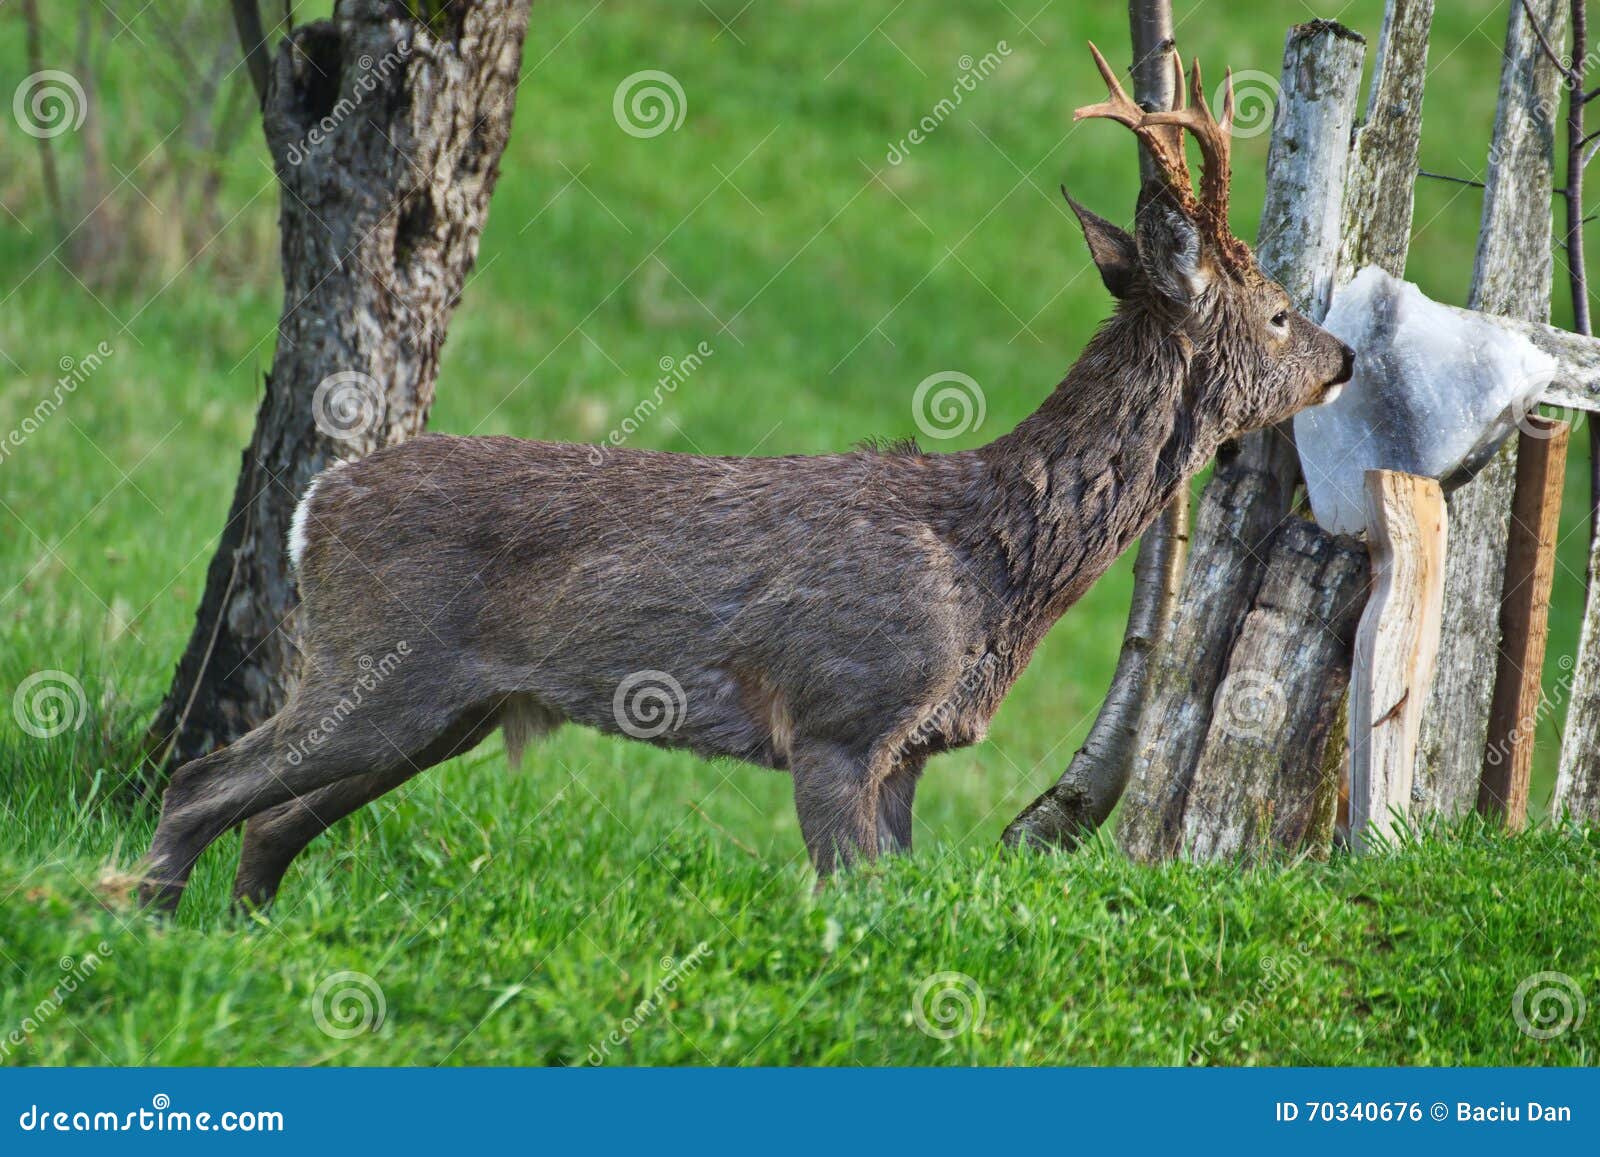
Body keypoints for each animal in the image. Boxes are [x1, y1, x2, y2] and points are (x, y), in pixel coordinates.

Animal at [139, 46, 1354, 913]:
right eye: (1278, 308)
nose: (1342, 356)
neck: (990, 565)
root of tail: (317, 506)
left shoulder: (907, 751)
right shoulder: (837, 715)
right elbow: (852, 901)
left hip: (449, 704)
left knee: (268, 822)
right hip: (378, 658)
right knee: (205, 784)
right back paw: (139, 923)